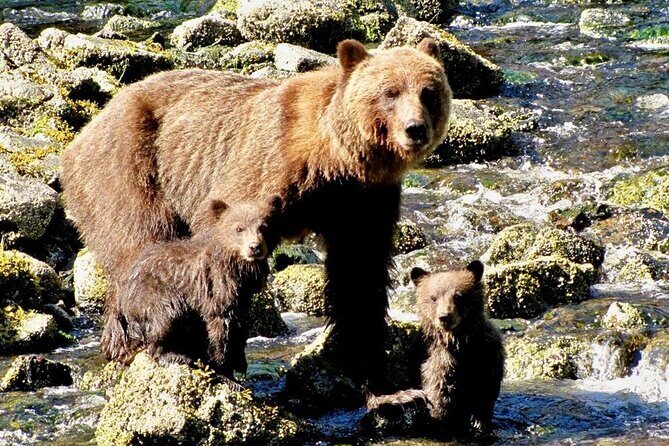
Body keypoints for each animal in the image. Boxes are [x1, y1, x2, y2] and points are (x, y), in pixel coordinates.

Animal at [104, 197, 279, 384]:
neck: (237, 268)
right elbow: (219, 329)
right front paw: (226, 374)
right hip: (153, 295)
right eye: (239, 228)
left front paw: (239, 362)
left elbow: (239, 326)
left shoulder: (242, 295)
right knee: (166, 316)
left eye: (263, 226)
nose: (255, 247)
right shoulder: (214, 289)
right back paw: (175, 356)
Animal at [366, 261, 505, 436]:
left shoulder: (486, 354)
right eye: (433, 297)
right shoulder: (437, 360)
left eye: (458, 295)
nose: (444, 317)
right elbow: (440, 392)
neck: (458, 342)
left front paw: (478, 423)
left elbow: (484, 394)